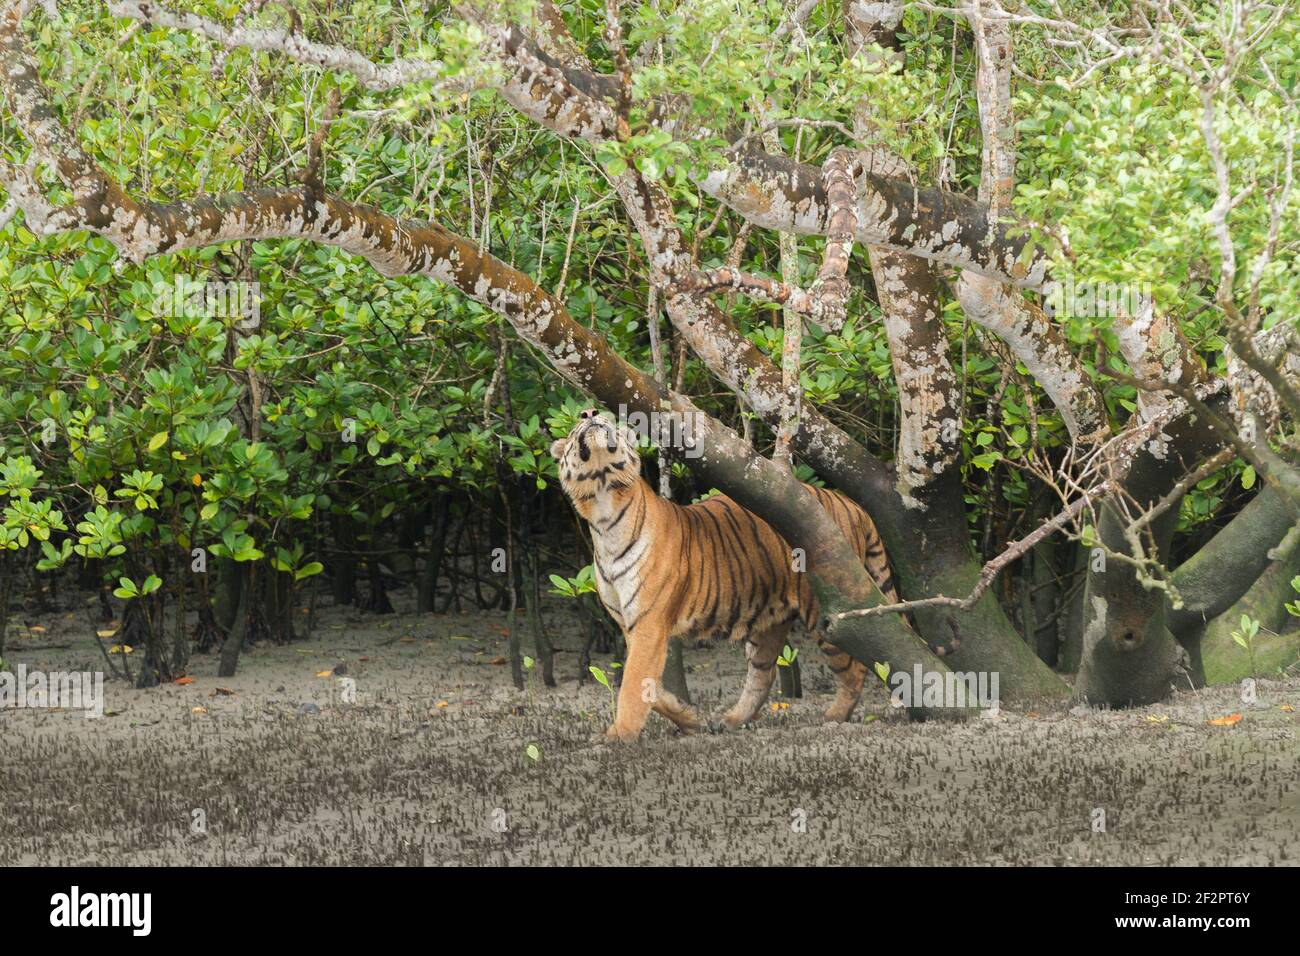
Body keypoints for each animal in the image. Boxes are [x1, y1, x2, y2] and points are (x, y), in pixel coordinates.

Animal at [550, 408, 905, 742]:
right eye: (576, 425)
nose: (590, 413)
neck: (603, 508)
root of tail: (851, 504)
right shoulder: (628, 623)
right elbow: (649, 683)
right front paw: (688, 717)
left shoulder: (649, 623)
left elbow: (633, 682)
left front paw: (619, 735)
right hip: (768, 621)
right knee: (764, 673)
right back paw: (732, 720)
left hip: (825, 611)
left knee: (854, 669)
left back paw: (833, 717)